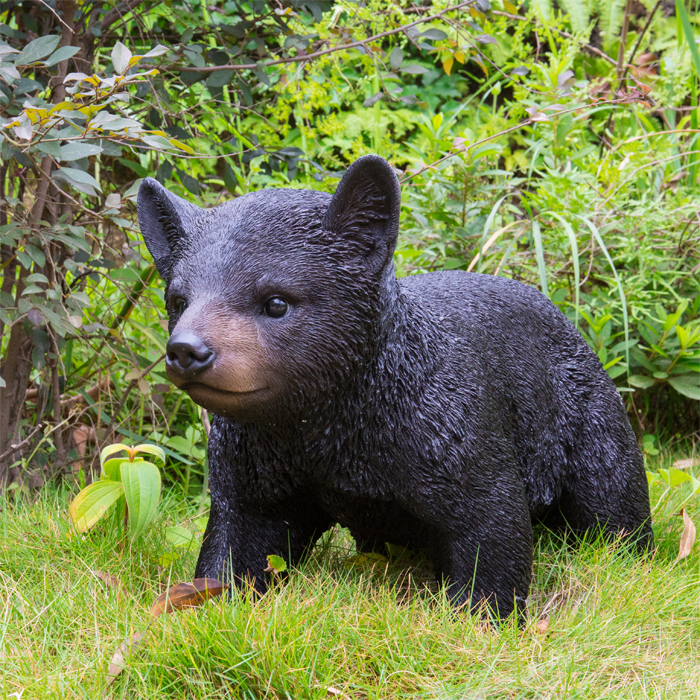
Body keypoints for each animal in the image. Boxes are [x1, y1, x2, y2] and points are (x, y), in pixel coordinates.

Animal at [137, 154, 653, 623]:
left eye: (276, 302)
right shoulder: (255, 465)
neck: (331, 435)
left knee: (613, 504)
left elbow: (494, 535)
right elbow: (235, 546)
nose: (187, 350)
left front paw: (483, 621)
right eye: (178, 299)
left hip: (590, 420)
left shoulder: (459, 441)